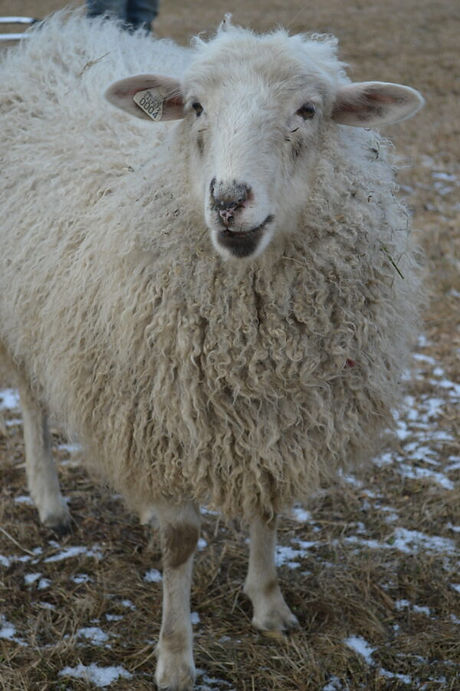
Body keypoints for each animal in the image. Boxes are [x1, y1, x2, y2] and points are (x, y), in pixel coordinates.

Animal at [0, 10, 424, 690]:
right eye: (196, 107)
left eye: (308, 110)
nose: (228, 201)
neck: (254, 337)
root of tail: (56, 37)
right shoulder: (159, 411)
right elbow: (180, 542)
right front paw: (175, 657)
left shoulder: (274, 420)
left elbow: (267, 509)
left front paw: (270, 605)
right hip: (25, 310)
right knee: (34, 401)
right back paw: (50, 501)